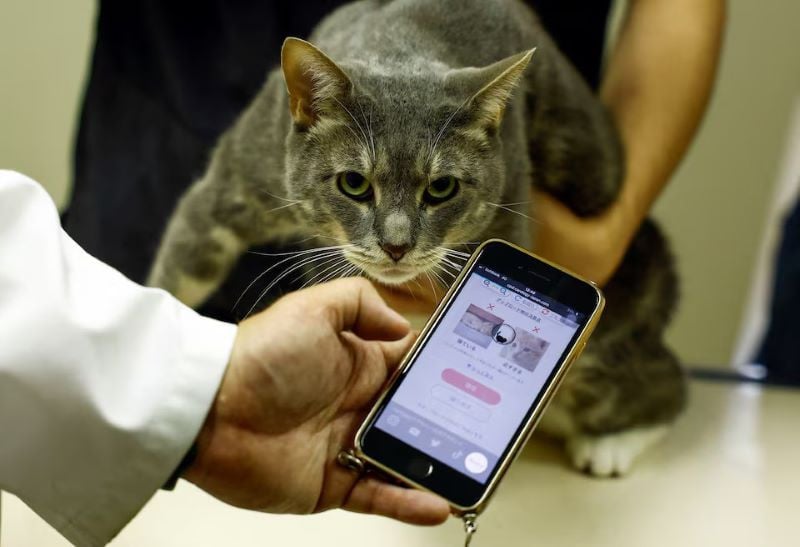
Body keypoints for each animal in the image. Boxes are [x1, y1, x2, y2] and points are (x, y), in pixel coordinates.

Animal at [150, 0, 688, 478]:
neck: (402, 42)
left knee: (667, 388)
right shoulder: (238, 179)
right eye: (354, 183)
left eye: (442, 187)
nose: (396, 245)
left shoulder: (508, 214)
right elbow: (181, 266)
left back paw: (611, 444)